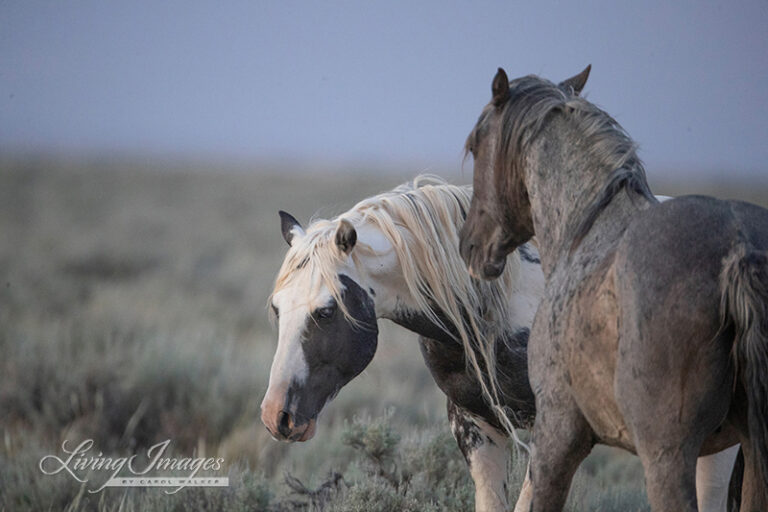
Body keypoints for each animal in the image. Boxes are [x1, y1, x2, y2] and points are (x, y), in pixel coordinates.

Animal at [458, 65, 768, 511]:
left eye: (474, 144)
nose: (470, 245)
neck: (587, 232)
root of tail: (738, 247)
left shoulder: (556, 436)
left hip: (667, 458)